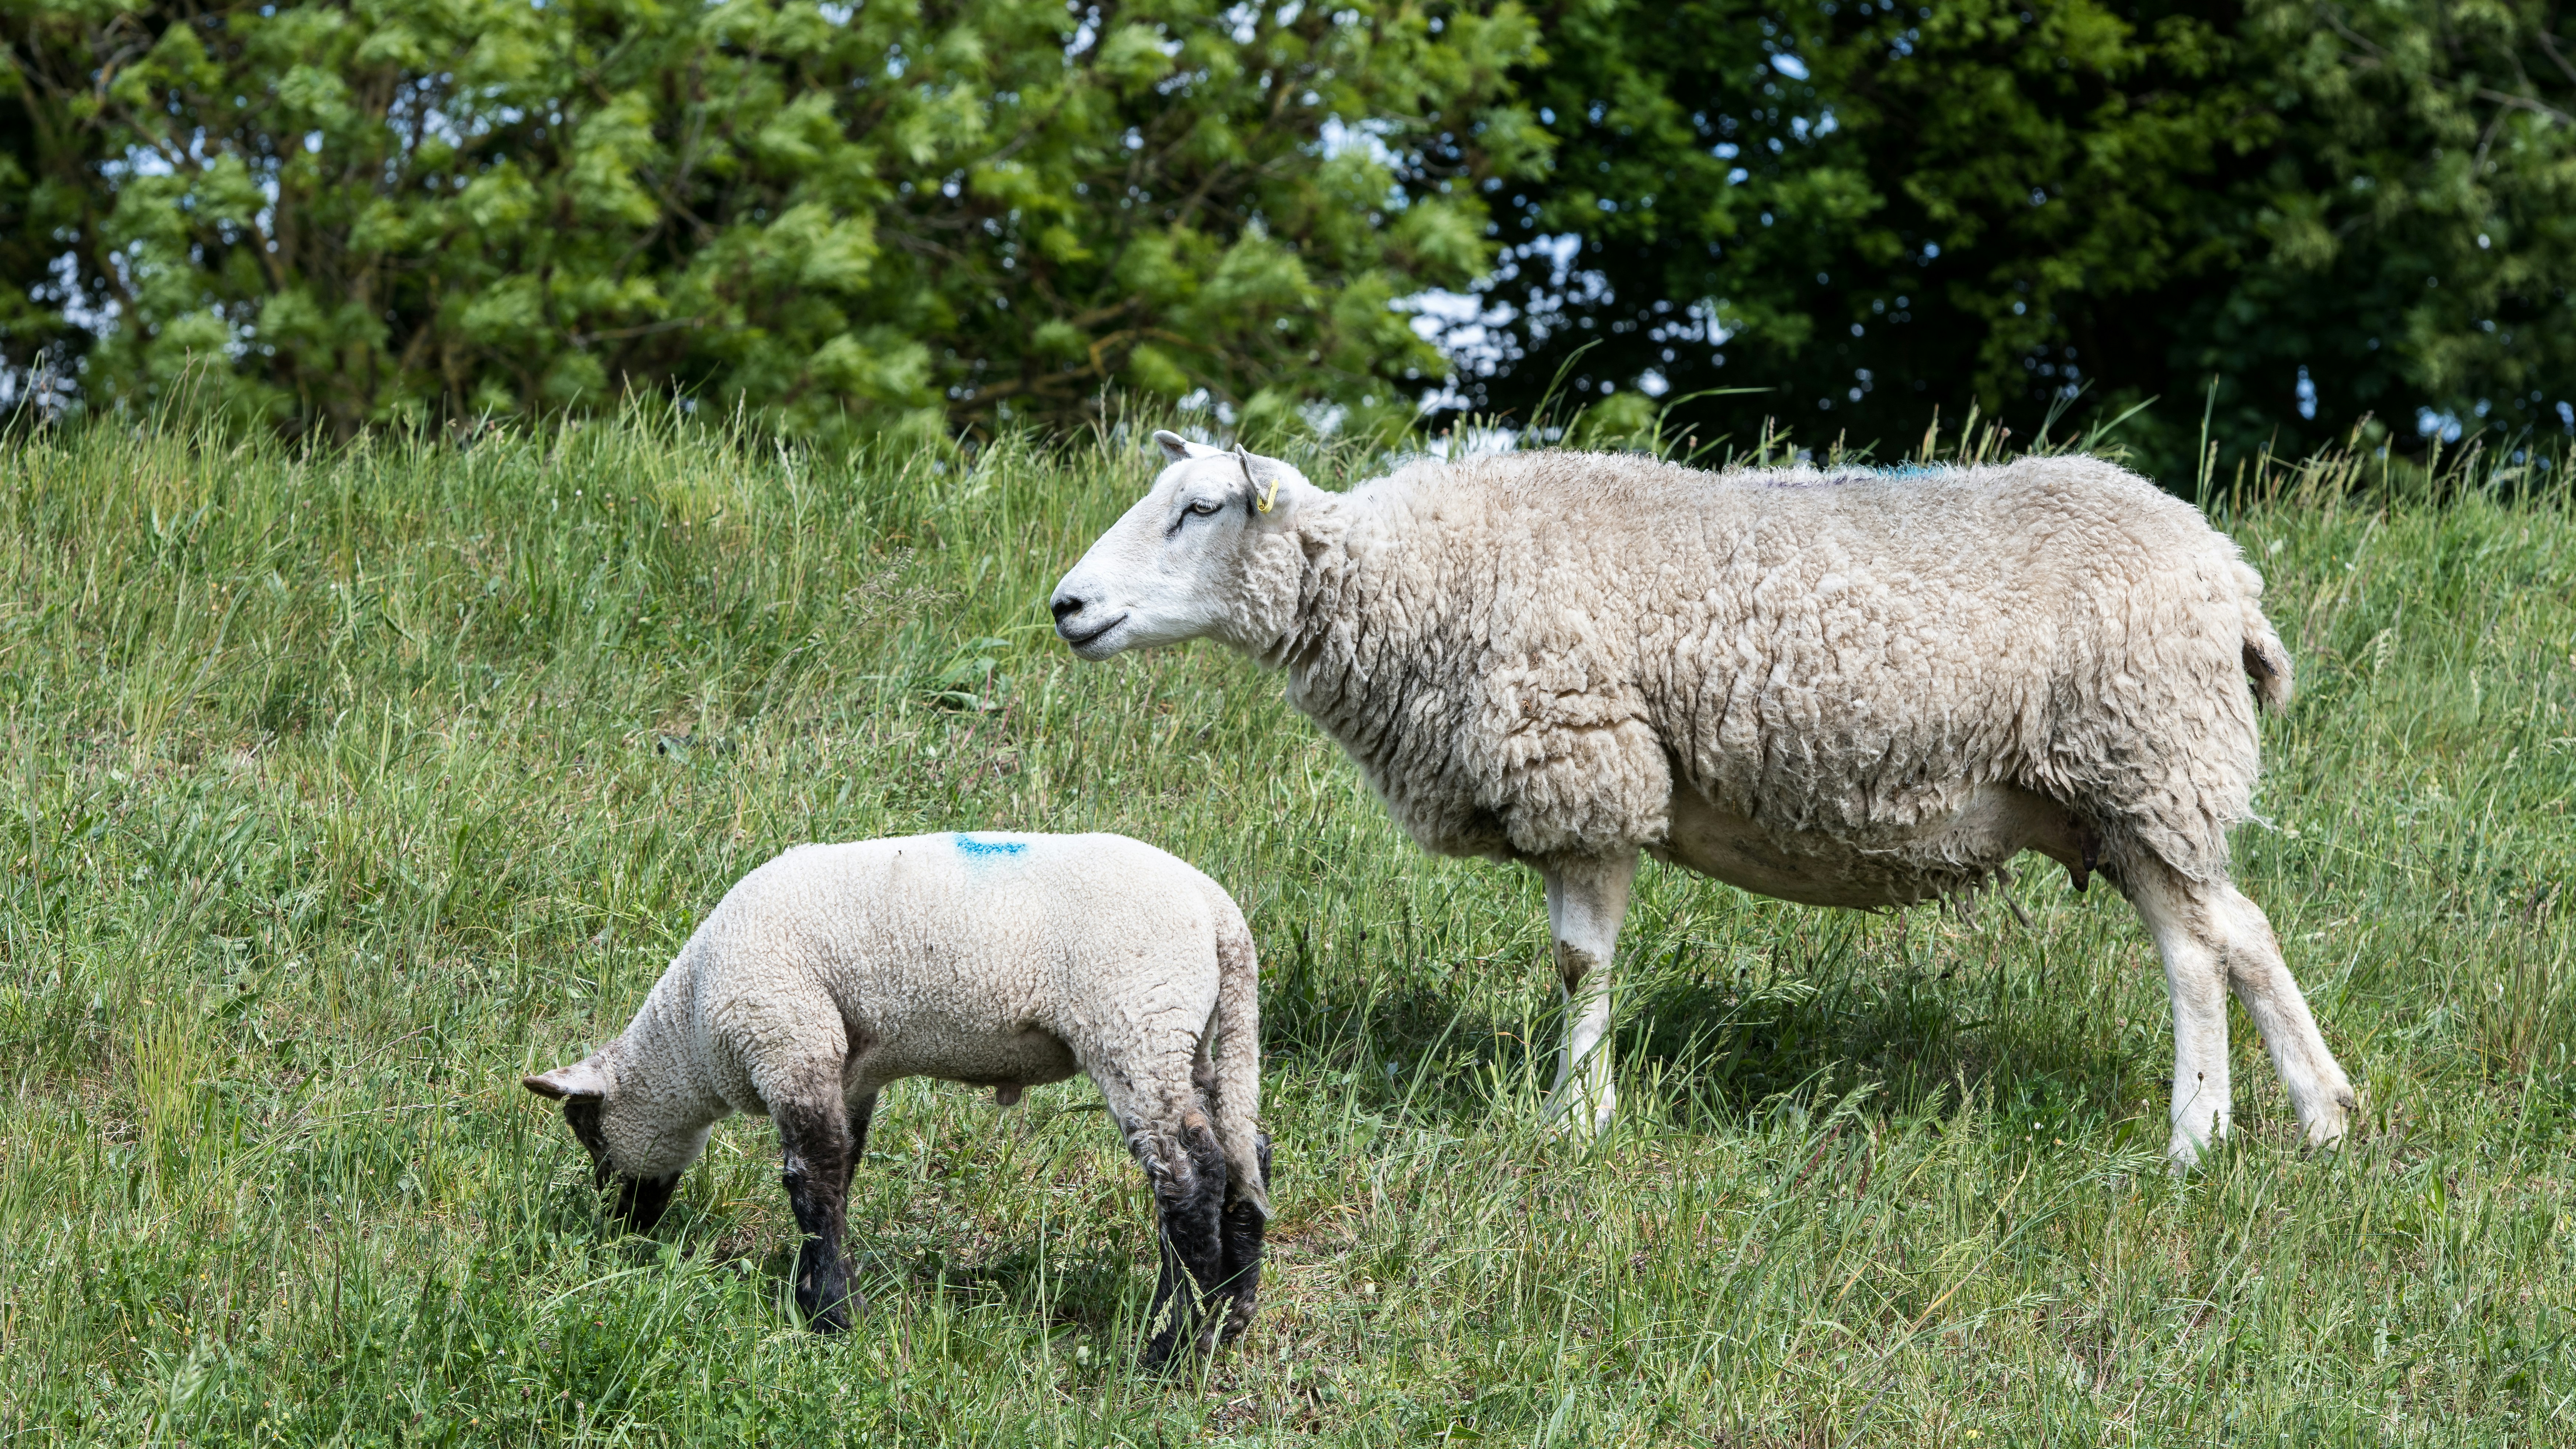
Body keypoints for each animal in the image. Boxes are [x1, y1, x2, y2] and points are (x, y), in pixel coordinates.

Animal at [521, 830, 1269, 1367]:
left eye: (587, 1130)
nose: (620, 1226)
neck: (692, 1032)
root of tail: (1222, 917)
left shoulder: (787, 1037)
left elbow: (811, 1179)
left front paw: (832, 1318)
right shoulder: (847, 1068)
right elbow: (840, 1171)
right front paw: (819, 1292)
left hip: (1136, 1024)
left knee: (1189, 1176)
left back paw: (1169, 1346)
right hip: (1197, 1037)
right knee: (1245, 1154)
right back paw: (1230, 1315)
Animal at [1048, 433, 2355, 1166]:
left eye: (1199, 509)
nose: (1066, 606)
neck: (1403, 577)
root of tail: (2229, 574)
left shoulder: (1590, 765)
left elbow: (1580, 963)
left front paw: (1579, 1120)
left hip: (2140, 757)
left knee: (2195, 957)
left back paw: (2196, 1139)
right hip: (2132, 791)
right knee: (2240, 931)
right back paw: (2325, 1116)